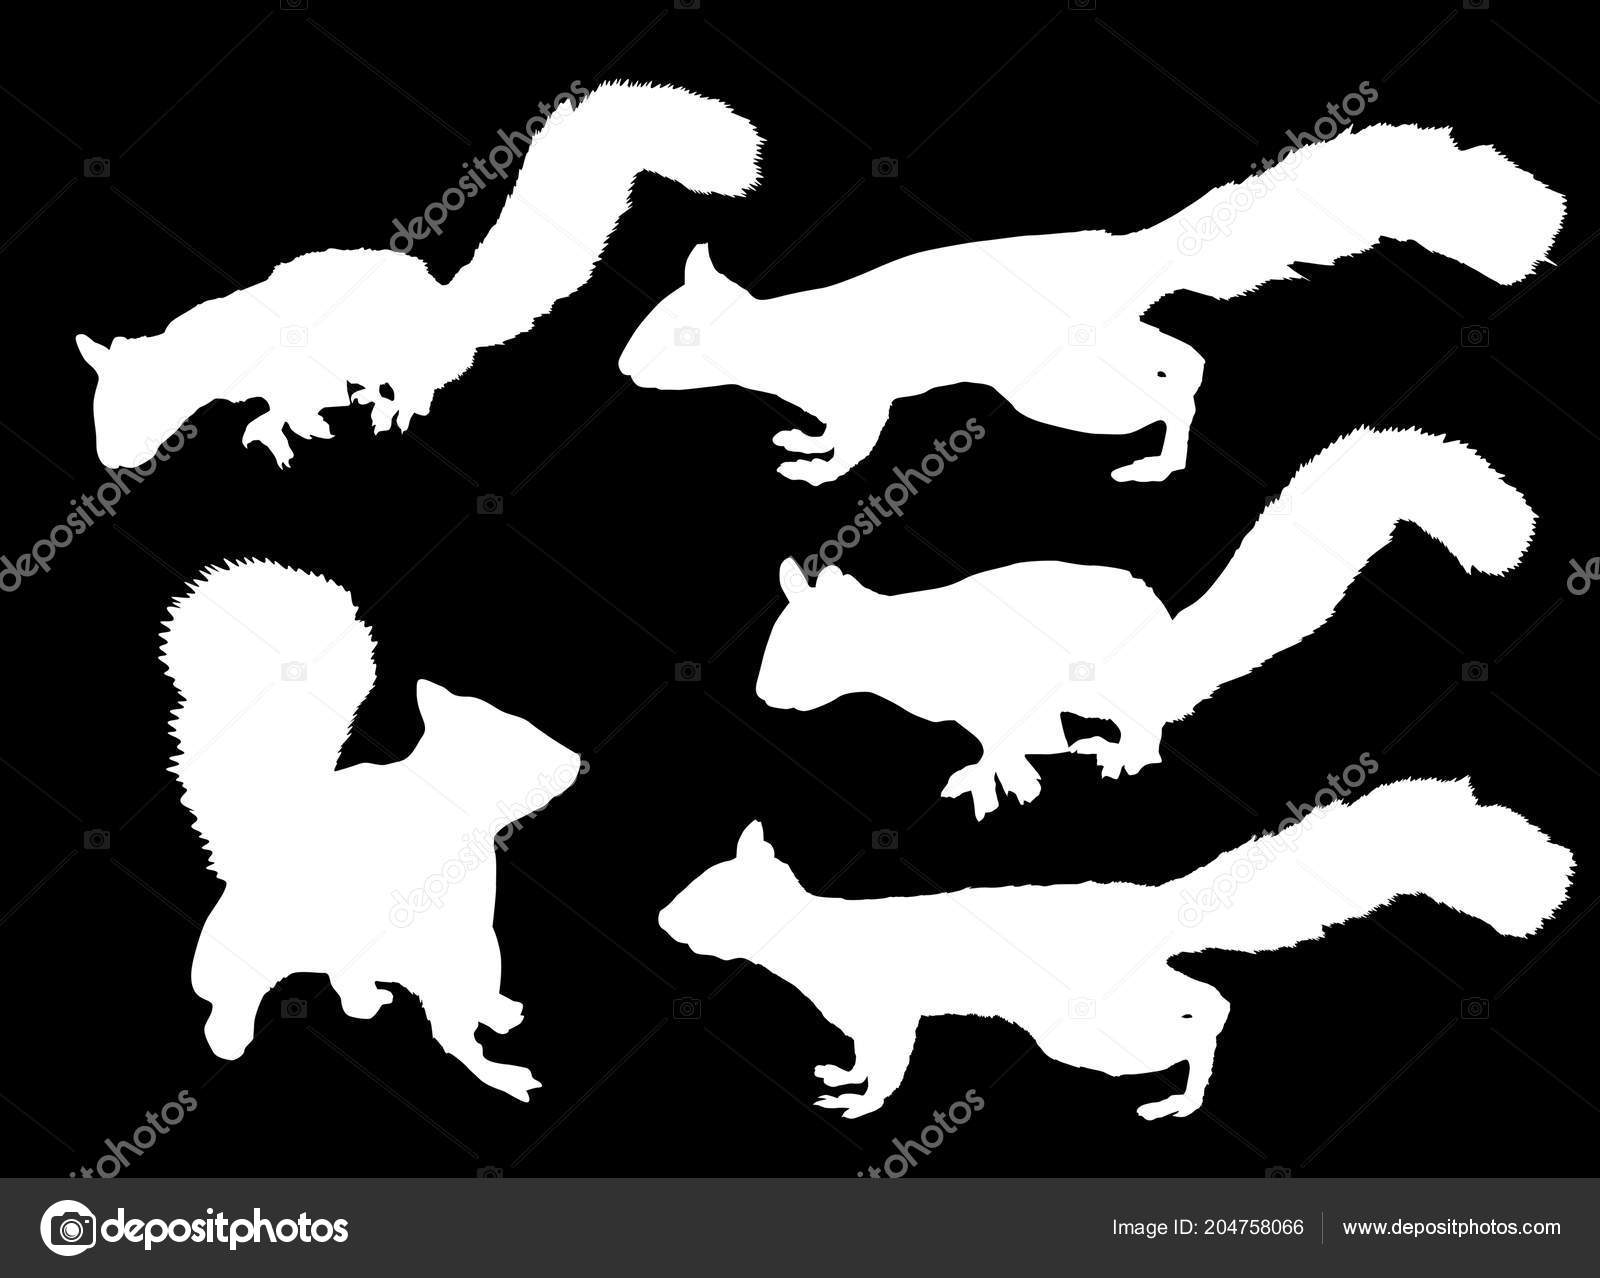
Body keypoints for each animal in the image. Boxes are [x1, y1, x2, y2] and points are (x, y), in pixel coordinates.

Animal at [78, 82, 762, 468]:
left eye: (136, 404)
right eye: (99, 408)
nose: (109, 460)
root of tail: (446, 312)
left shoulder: (297, 373)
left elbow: (291, 406)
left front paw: (279, 432)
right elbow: (290, 406)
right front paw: (288, 428)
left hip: (409, 359)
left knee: (427, 385)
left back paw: (394, 409)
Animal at [619, 123, 1563, 485]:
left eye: (680, 335)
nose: (624, 368)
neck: (780, 337)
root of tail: (1122, 253)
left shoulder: (861, 392)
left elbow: (856, 440)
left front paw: (817, 468)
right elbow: (825, 428)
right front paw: (800, 441)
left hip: (1060, 388)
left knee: (1165, 381)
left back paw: (1161, 450)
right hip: (1104, 347)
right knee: (1184, 356)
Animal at [660, 781, 1571, 1120]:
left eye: (707, 897)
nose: (664, 918)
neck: (808, 945)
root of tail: (1150, 905)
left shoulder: (888, 1009)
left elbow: (891, 1064)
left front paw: (862, 1103)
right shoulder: (860, 1016)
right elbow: (859, 1054)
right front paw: (840, 1077)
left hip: (1086, 1025)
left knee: (1202, 1013)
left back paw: (1181, 1093)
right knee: (1208, 999)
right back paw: (1191, 1090)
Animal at [757, 428, 1535, 819]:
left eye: (801, 648)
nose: (764, 697)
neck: (902, 645)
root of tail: (1166, 653)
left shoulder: (999, 699)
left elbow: (999, 745)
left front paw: (990, 782)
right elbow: (1016, 744)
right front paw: (1008, 779)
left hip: (1114, 690)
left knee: (1151, 733)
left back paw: (1120, 756)